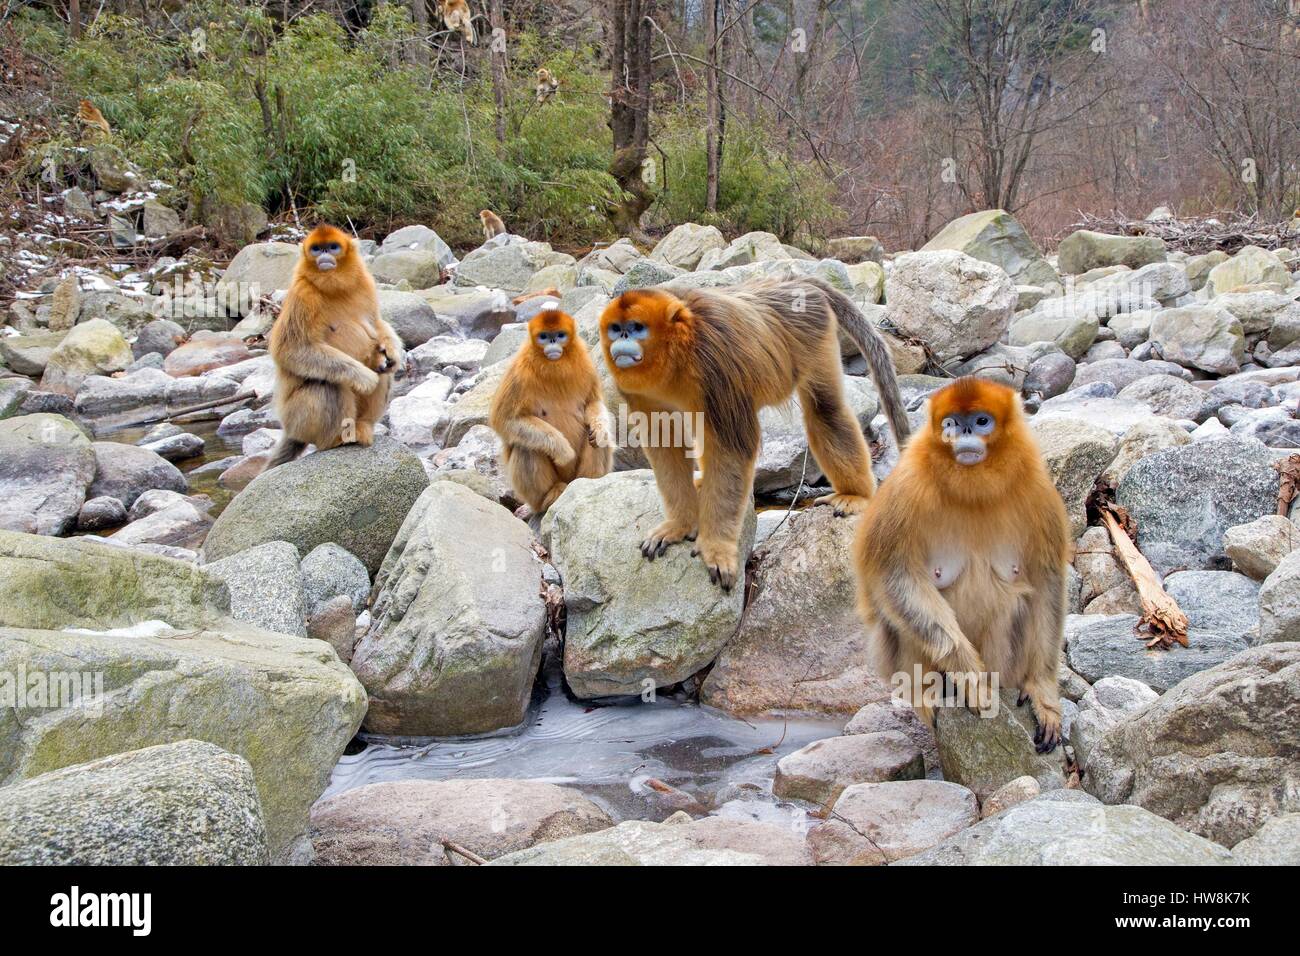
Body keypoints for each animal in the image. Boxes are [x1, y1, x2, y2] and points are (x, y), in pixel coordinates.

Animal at [265, 224, 404, 470]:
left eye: (332, 247)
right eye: (316, 248)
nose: (324, 255)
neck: (332, 286)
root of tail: (291, 429)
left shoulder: (365, 283)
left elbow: (377, 323)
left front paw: (393, 353)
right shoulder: (303, 294)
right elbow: (290, 350)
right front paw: (363, 377)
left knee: (384, 373)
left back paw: (363, 424)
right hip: (298, 420)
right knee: (327, 383)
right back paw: (339, 438)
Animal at [490, 309, 613, 513]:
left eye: (560, 335)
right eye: (544, 337)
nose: (553, 341)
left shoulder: (586, 365)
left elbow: (593, 403)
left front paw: (600, 430)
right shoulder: (518, 372)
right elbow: (505, 420)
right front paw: (562, 450)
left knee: (598, 440)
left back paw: (586, 481)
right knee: (525, 446)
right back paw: (550, 496)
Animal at [599, 276, 911, 591]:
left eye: (636, 327)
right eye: (616, 328)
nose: (622, 337)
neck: (676, 350)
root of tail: (792, 282)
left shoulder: (714, 362)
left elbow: (732, 450)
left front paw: (717, 548)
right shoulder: (636, 388)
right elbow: (666, 443)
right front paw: (680, 525)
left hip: (813, 328)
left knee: (825, 410)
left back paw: (855, 494)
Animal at [853, 377, 1070, 752]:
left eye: (981, 421)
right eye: (950, 423)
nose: (963, 431)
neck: (973, 488)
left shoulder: (1038, 491)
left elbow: (1047, 583)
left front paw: (1043, 694)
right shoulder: (905, 486)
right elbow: (895, 577)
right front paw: (970, 679)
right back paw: (927, 696)